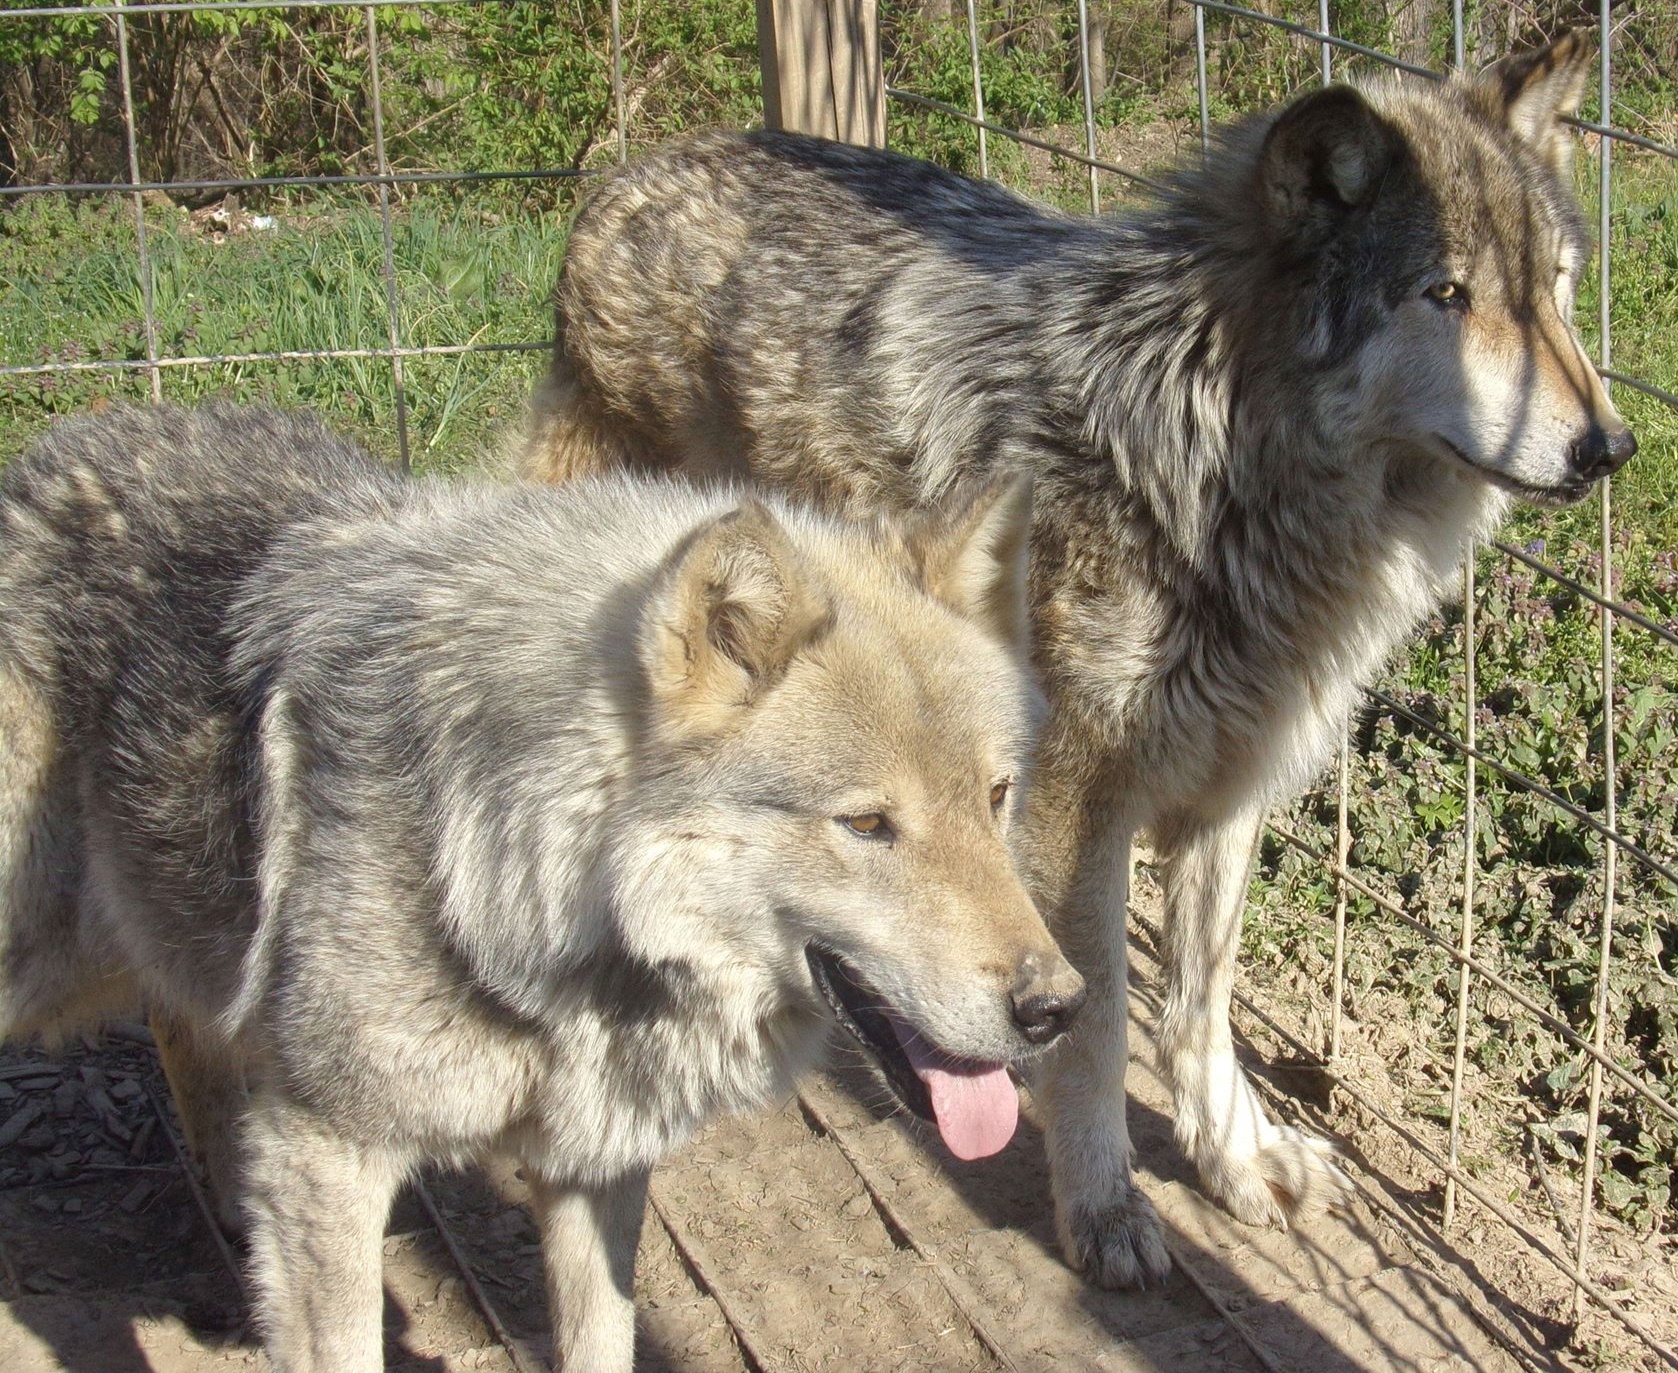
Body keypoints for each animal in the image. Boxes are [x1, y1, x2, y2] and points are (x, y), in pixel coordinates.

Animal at [0, 403, 1085, 1371]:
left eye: (994, 796)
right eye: (866, 824)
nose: (1056, 1009)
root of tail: (59, 442)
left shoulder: (593, 1160)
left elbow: (602, 1339)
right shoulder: (329, 1149)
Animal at [517, 33, 1636, 1288]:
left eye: (1555, 288)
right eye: (1447, 295)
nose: (1610, 447)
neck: (1212, 462)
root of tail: (633, 171)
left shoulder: (1226, 793)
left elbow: (1201, 1006)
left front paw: (1235, 1160)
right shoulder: (1070, 805)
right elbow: (1094, 1024)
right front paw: (1103, 1206)